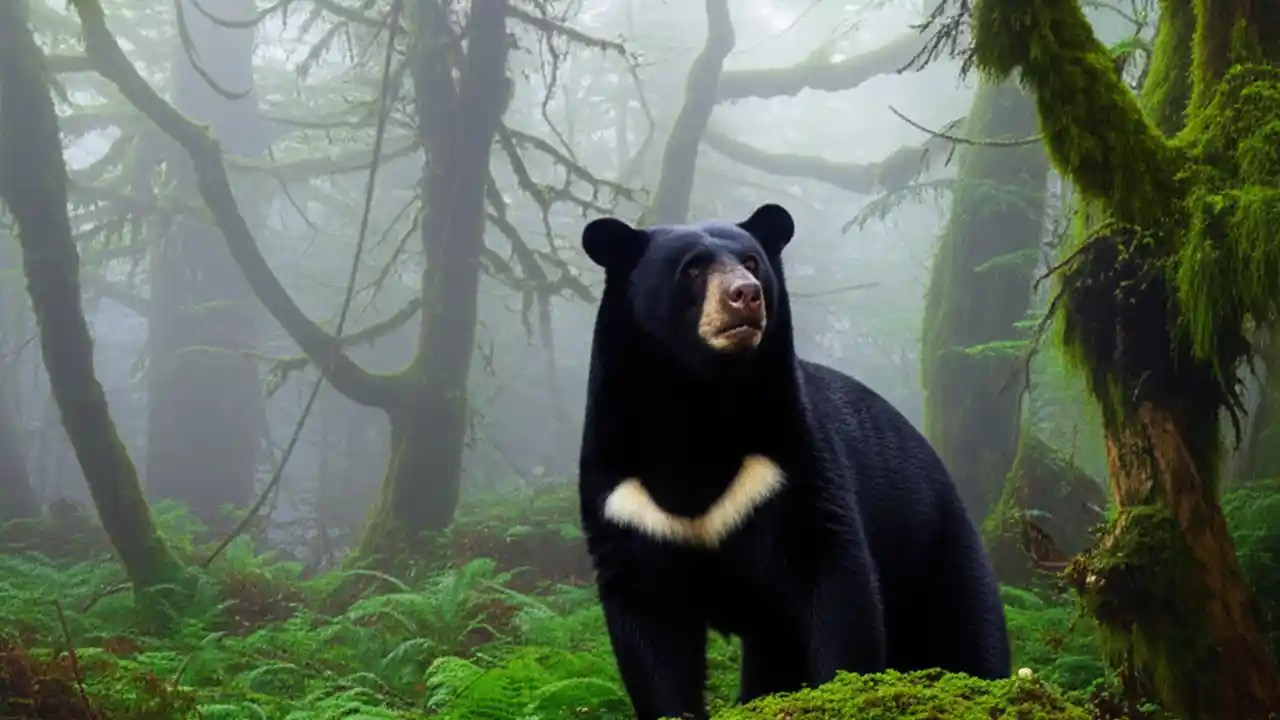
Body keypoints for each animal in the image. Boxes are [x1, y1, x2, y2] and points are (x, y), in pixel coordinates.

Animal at [576, 203, 1011, 720]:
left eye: (752, 261)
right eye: (693, 269)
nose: (746, 295)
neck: (699, 401)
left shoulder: (788, 463)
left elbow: (833, 580)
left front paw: (840, 693)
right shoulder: (624, 495)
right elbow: (649, 623)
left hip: (936, 550)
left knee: (968, 636)